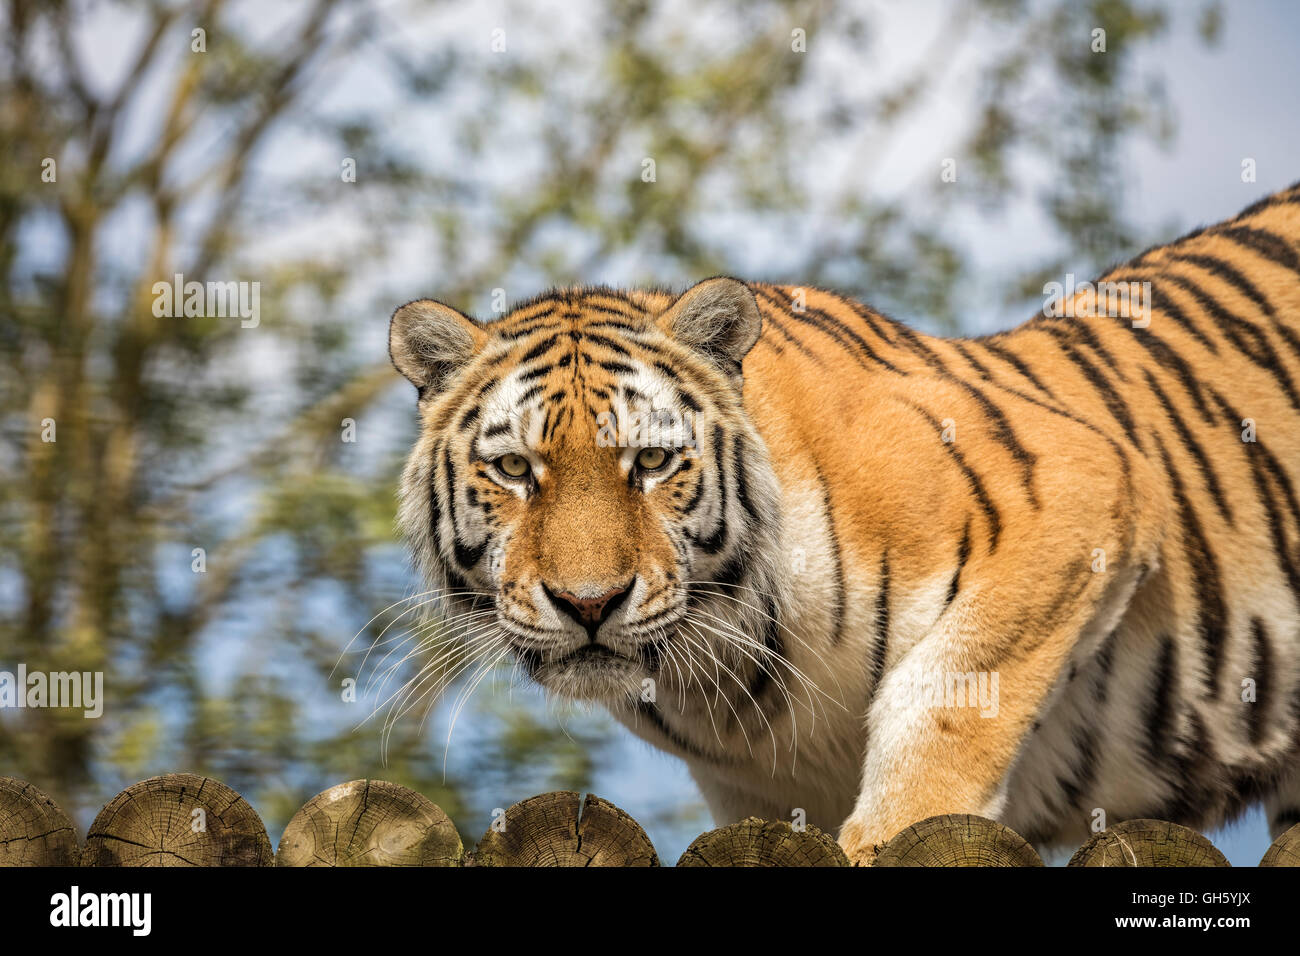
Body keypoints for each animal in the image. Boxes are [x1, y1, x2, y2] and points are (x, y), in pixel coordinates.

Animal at [388, 181, 1300, 864]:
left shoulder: (1084, 488)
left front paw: (888, 829)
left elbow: (944, 698)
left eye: (650, 463)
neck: (726, 680)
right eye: (515, 470)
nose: (588, 603)